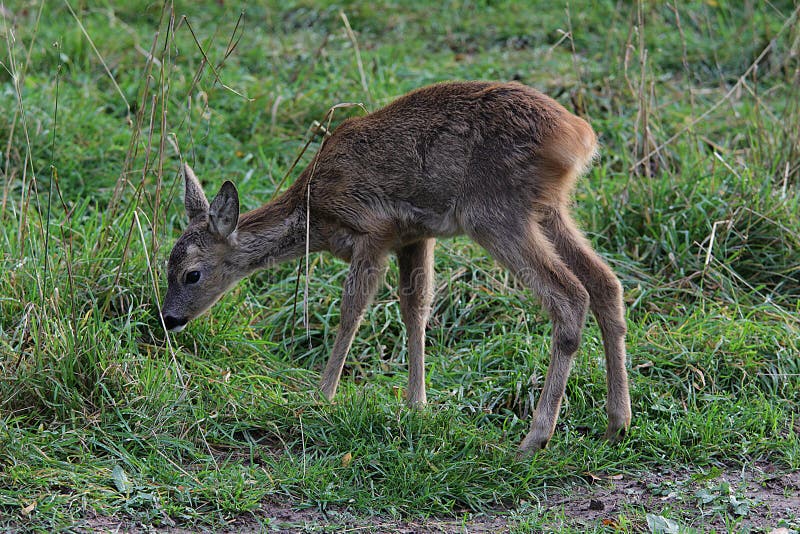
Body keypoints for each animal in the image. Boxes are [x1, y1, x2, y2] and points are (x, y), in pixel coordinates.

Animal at [160, 81, 632, 454]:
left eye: (191, 274)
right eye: (167, 263)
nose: (168, 319)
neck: (314, 213)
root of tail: (579, 136)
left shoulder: (373, 232)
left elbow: (352, 312)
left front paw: (322, 396)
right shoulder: (412, 237)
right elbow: (415, 309)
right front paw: (416, 405)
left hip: (495, 212)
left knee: (569, 296)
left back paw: (535, 438)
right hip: (548, 208)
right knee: (605, 283)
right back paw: (617, 424)